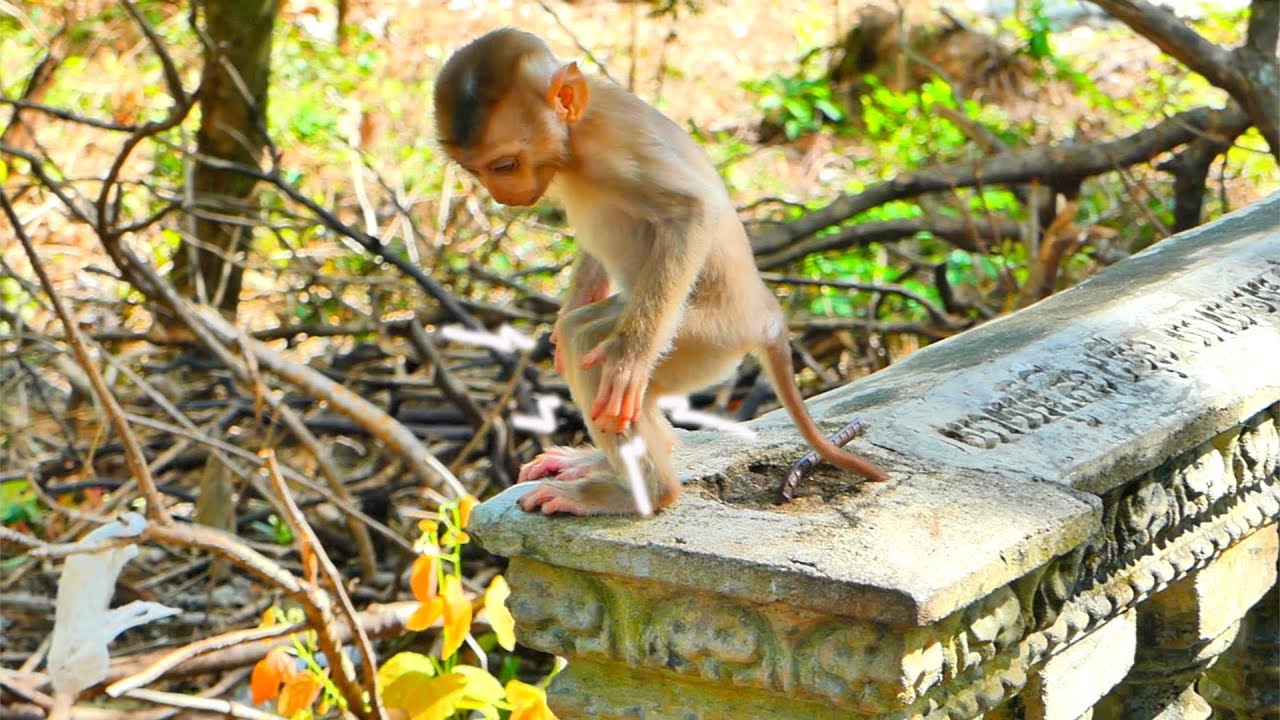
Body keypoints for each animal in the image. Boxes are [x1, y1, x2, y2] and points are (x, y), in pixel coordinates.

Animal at [433, 28, 888, 516]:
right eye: (477, 171)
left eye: (504, 165)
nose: (500, 194)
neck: (574, 140)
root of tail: (766, 315)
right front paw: (567, 314)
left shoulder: (613, 151)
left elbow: (691, 212)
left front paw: (628, 360)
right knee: (584, 332)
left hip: (704, 338)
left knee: (594, 344)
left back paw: (643, 491)